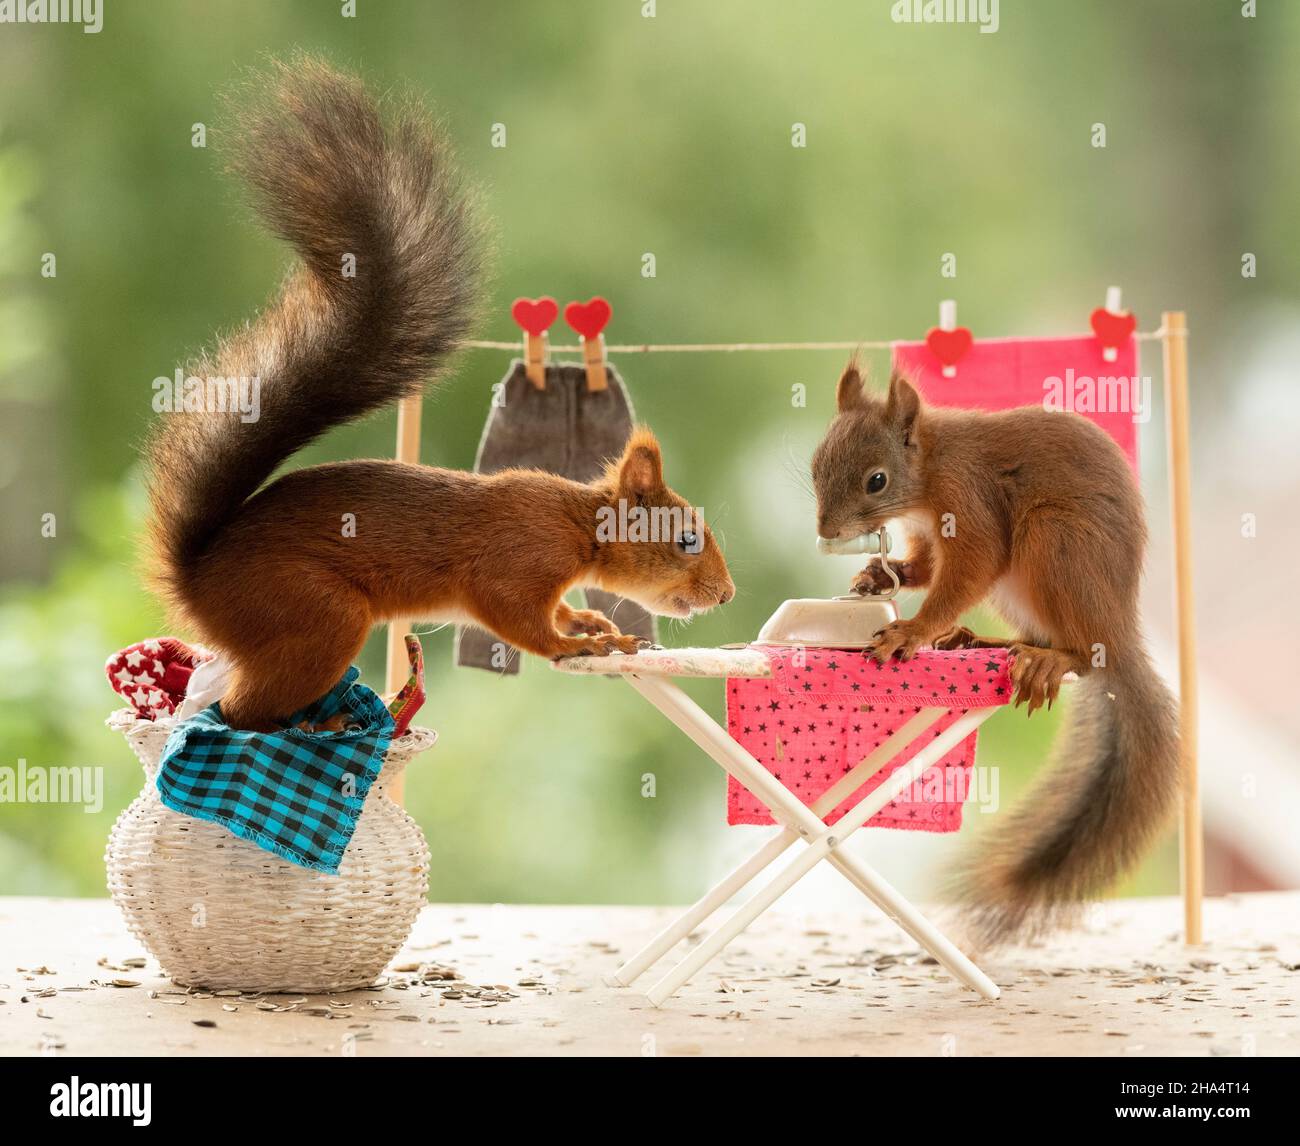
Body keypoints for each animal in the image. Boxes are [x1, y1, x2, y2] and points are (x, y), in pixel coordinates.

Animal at [144, 58, 734, 732]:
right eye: (685, 539)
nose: (726, 594)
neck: (578, 526)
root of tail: (198, 585)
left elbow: (553, 611)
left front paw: (588, 620)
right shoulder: (513, 564)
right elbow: (518, 621)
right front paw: (581, 642)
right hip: (316, 614)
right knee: (239, 714)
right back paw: (321, 725)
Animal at [811, 360, 1180, 946]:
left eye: (877, 480)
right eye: (815, 465)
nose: (826, 531)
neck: (929, 470)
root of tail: (1118, 628)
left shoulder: (969, 499)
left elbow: (970, 566)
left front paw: (911, 630)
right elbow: (924, 567)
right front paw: (875, 576)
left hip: (1057, 541)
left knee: (1080, 652)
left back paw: (1051, 660)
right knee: (1042, 635)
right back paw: (986, 641)